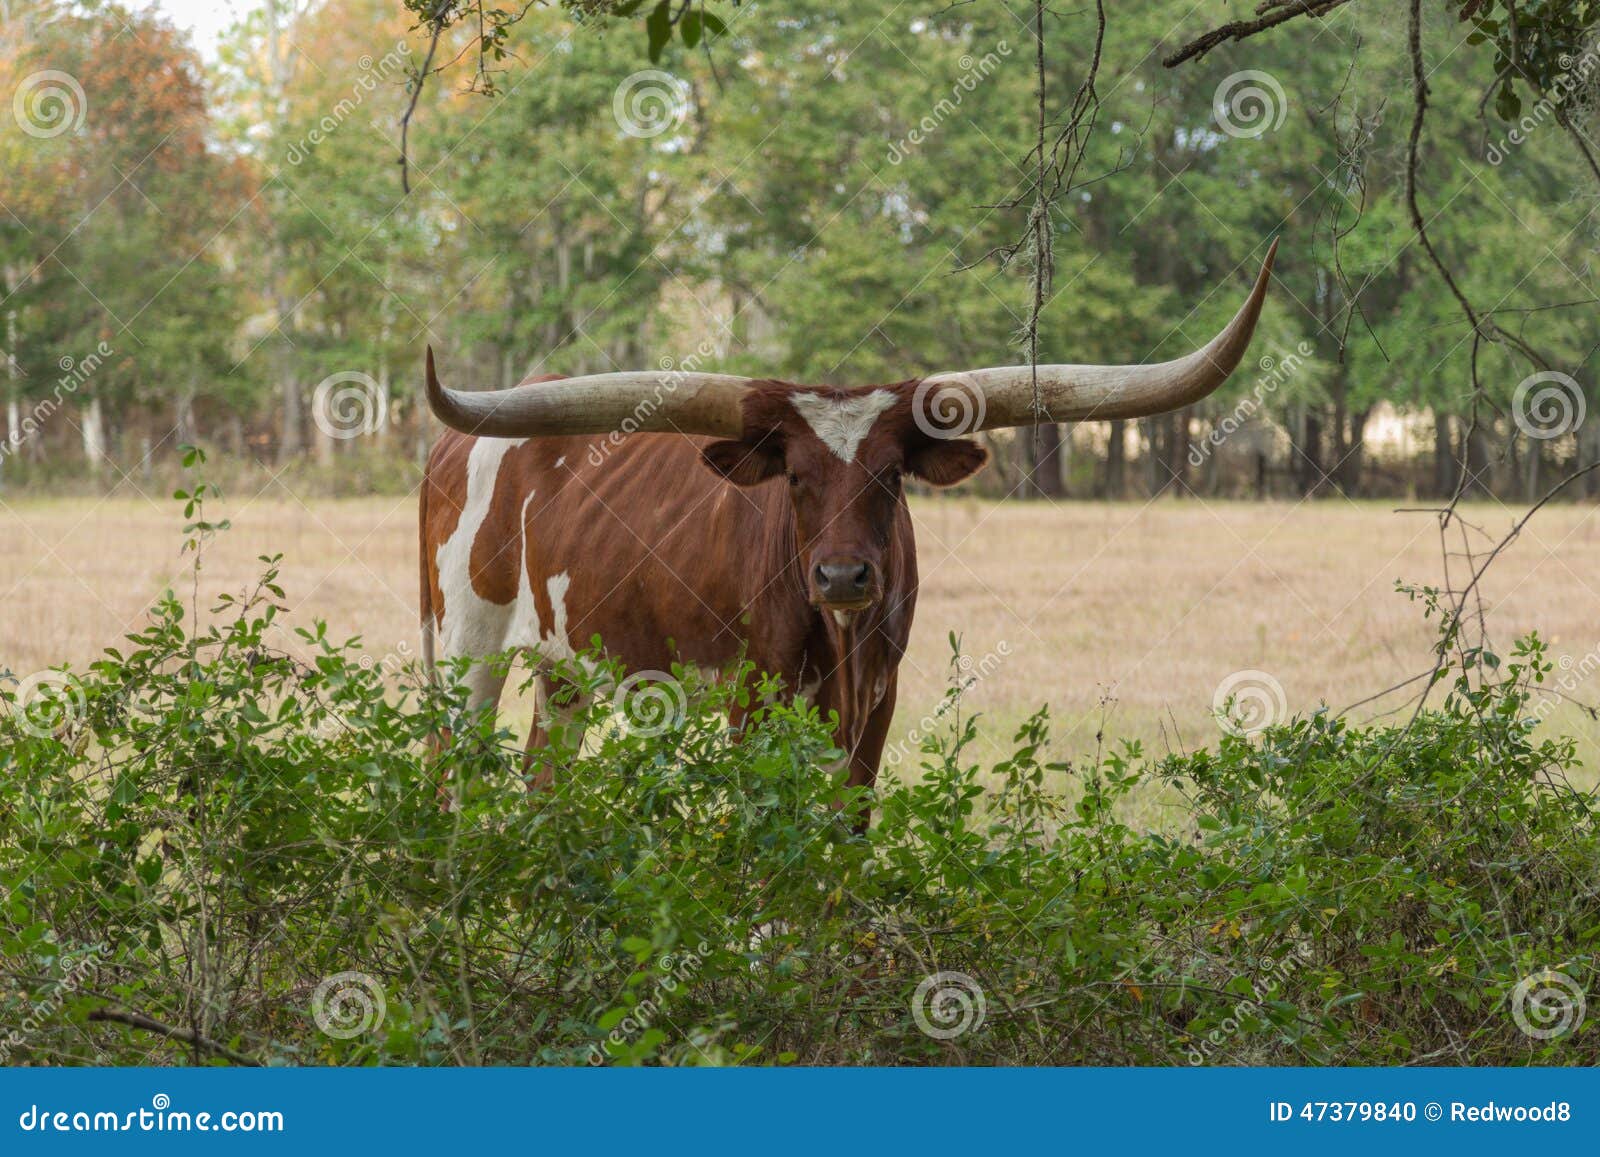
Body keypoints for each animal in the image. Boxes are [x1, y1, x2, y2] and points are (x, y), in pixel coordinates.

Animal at [419, 242, 1276, 819]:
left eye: (891, 475)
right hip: (464, 643)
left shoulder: (876, 706)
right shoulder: (755, 700)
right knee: (449, 771)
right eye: (795, 478)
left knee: (542, 780)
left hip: (562, 666)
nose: (841, 576)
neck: (838, 642)